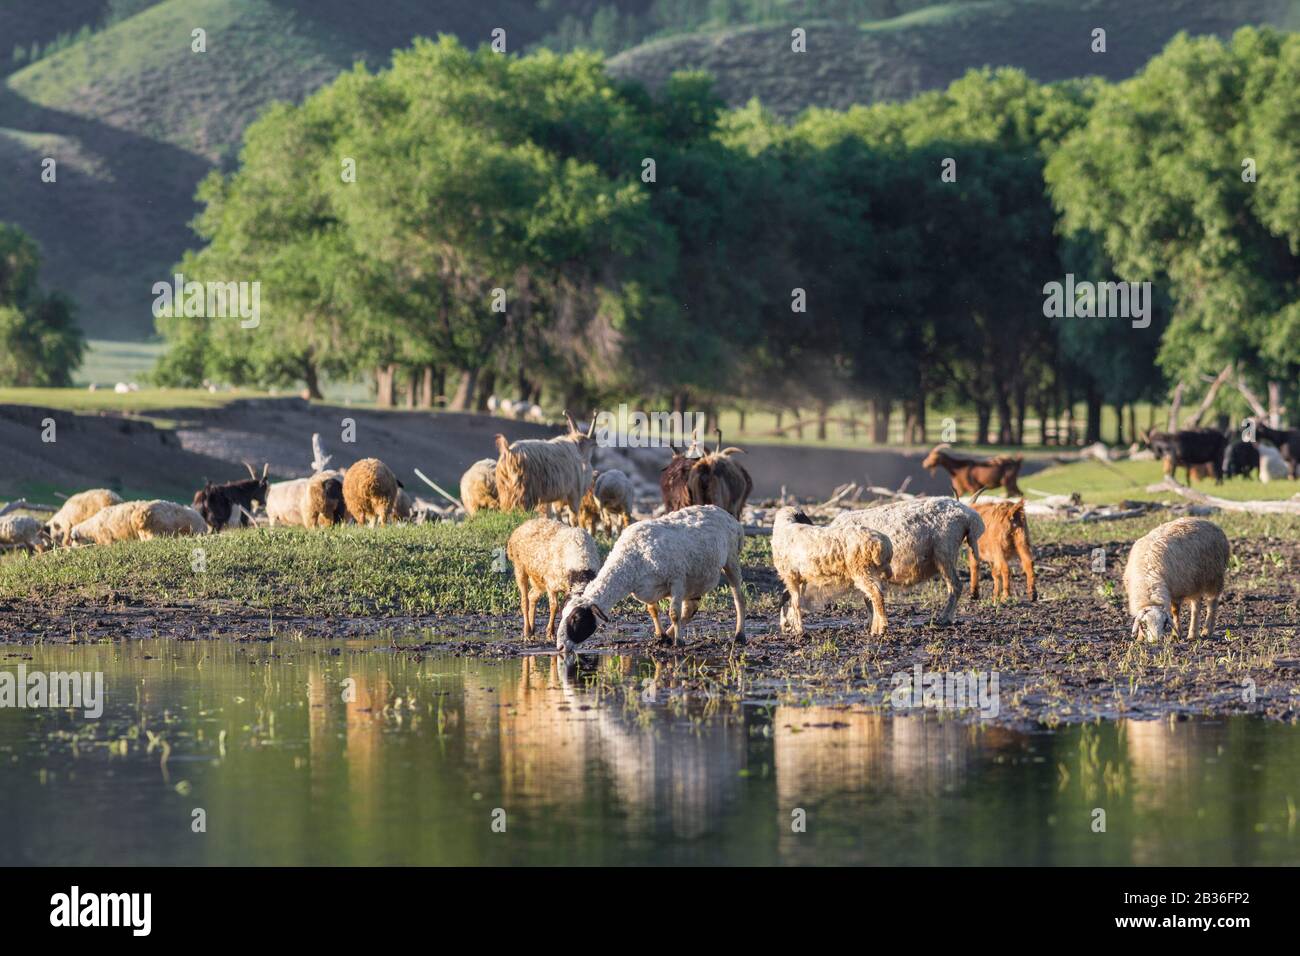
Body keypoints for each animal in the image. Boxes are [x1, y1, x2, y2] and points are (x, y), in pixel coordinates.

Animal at [556, 504, 746, 651]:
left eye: (577, 618)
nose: (560, 647)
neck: (629, 559)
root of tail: (725, 513)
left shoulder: (677, 579)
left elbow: (673, 613)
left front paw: (678, 642)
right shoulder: (647, 588)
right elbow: (652, 610)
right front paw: (661, 636)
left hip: (731, 558)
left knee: (738, 597)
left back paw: (739, 635)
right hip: (695, 578)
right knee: (691, 608)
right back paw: (669, 635)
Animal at [771, 506, 892, 637]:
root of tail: (884, 543)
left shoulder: (790, 576)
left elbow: (795, 602)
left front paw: (798, 630)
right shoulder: (801, 579)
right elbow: (796, 601)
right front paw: (794, 627)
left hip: (862, 571)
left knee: (876, 595)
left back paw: (881, 629)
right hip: (872, 572)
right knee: (875, 595)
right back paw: (875, 628)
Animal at [831, 497, 983, 625]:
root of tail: (970, 515)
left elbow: (869, 597)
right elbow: (868, 597)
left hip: (945, 551)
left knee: (956, 586)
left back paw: (944, 618)